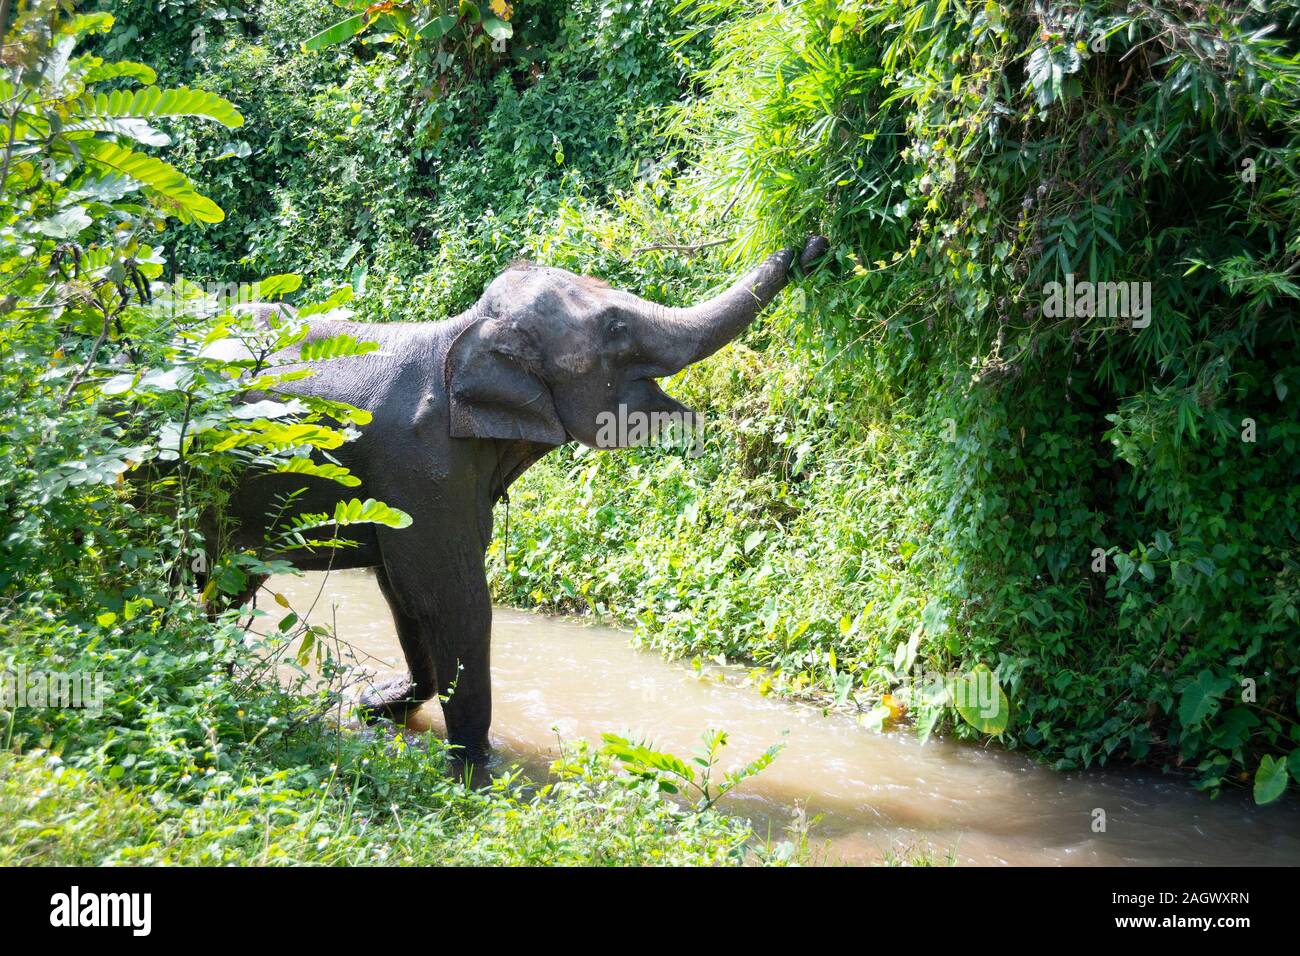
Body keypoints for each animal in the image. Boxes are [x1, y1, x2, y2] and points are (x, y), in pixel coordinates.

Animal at [224, 235, 828, 760]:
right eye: (616, 327)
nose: (813, 244)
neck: (461, 333)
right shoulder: (420, 462)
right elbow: (449, 598)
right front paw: (475, 766)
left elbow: (401, 595)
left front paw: (376, 706)